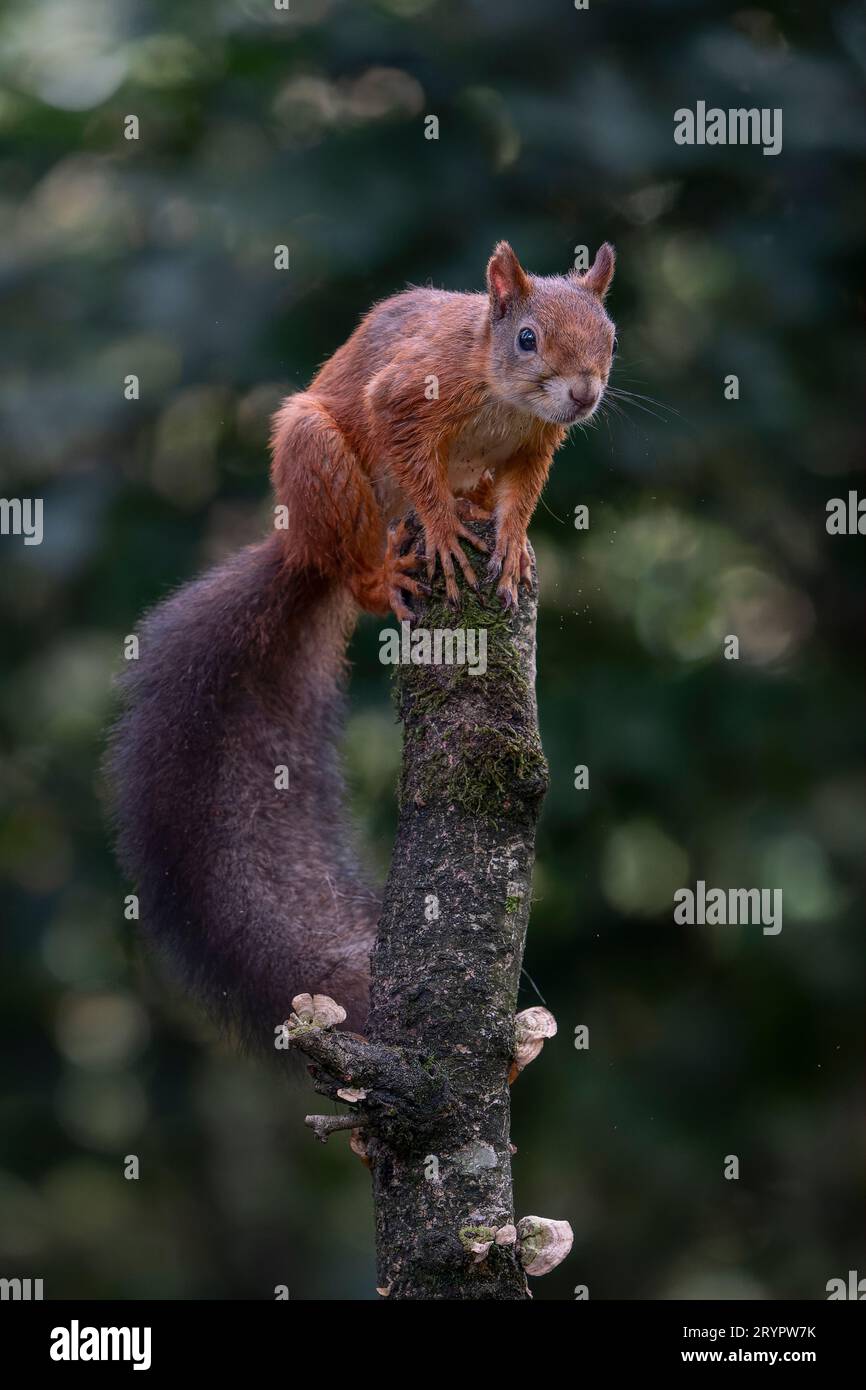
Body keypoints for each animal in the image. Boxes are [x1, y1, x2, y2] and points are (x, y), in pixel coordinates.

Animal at [108, 240, 616, 1050]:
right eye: (528, 338)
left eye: (609, 334)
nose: (583, 395)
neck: (501, 390)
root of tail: (301, 550)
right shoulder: (410, 394)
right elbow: (413, 458)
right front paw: (443, 529)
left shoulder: (535, 444)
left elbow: (519, 495)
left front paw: (512, 542)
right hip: (322, 463)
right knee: (357, 560)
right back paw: (391, 570)